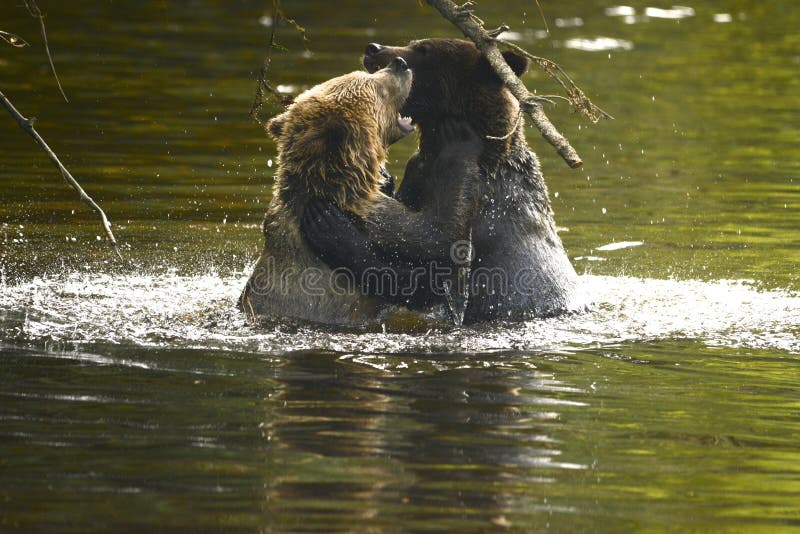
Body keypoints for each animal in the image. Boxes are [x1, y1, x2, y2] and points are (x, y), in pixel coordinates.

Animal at [240, 56, 481, 326]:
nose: (399, 63)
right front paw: (456, 140)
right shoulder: (368, 216)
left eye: (369, 75)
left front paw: (387, 176)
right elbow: (437, 237)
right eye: (378, 89)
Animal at [301, 38, 586, 323]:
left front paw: (334, 232)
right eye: (413, 42)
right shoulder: (420, 176)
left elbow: (428, 270)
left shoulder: (485, 216)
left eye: (424, 50)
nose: (374, 48)